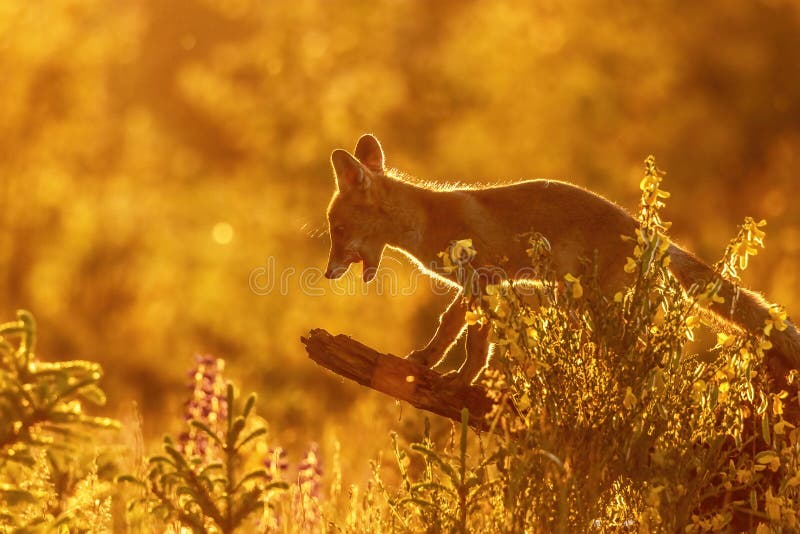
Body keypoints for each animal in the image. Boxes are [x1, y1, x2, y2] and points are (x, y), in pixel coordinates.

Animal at [324, 134, 800, 386]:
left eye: (337, 230)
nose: (328, 273)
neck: (426, 222)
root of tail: (652, 236)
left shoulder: (484, 278)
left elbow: (468, 337)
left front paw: (455, 377)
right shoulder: (482, 285)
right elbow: (460, 332)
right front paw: (435, 365)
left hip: (601, 311)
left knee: (647, 359)